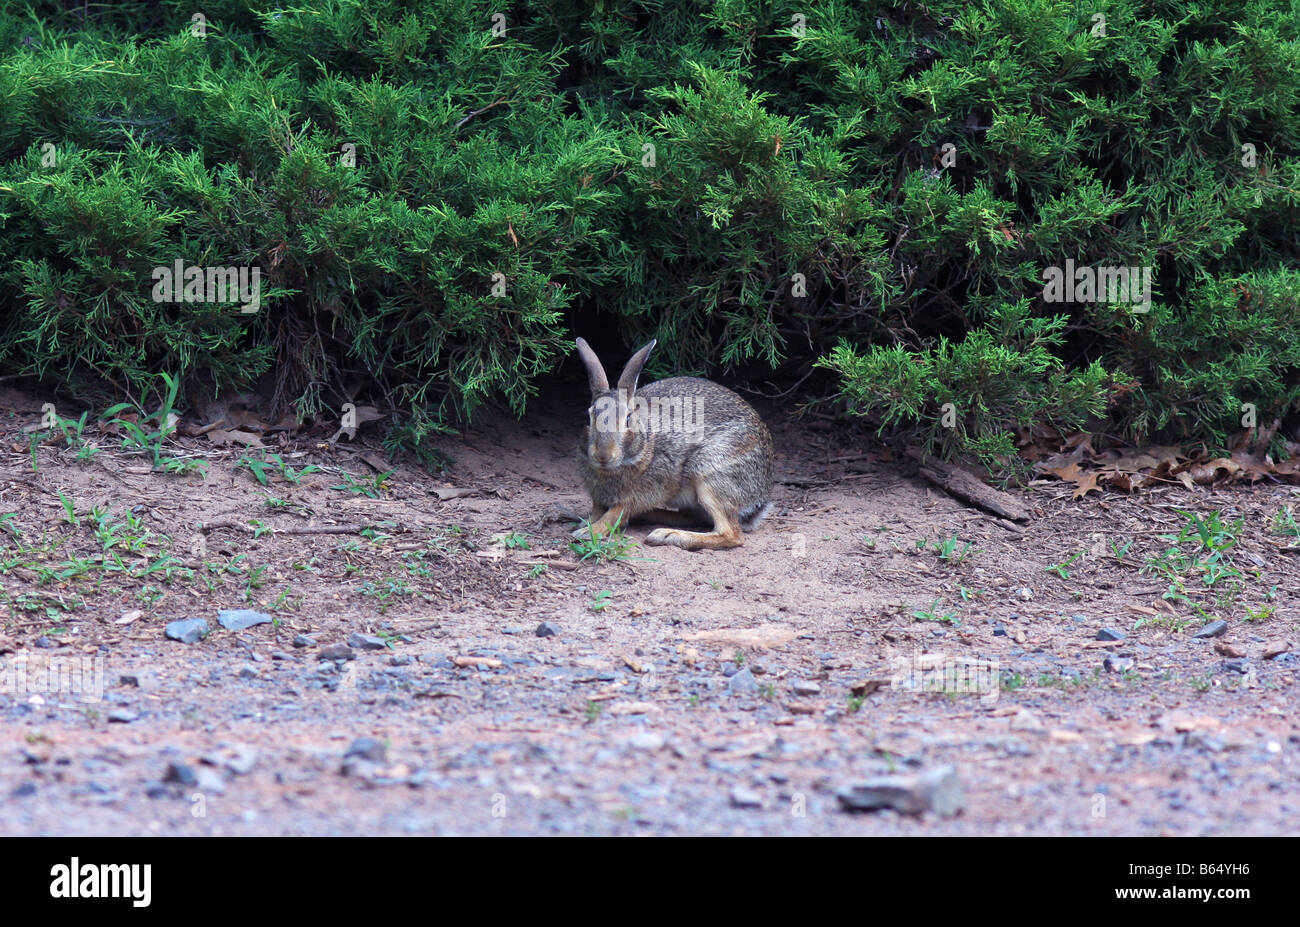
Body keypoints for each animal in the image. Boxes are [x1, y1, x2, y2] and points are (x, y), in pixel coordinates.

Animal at [573, 337, 773, 550]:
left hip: (710, 474)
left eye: (628, 419)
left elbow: (617, 511)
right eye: (587, 417)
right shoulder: (598, 496)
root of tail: (759, 497)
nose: (603, 455)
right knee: (693, 517)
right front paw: (586, 523)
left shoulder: (649, 488)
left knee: (731, 534)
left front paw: (589, 531)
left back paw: (667, 535)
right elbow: (598, 510)